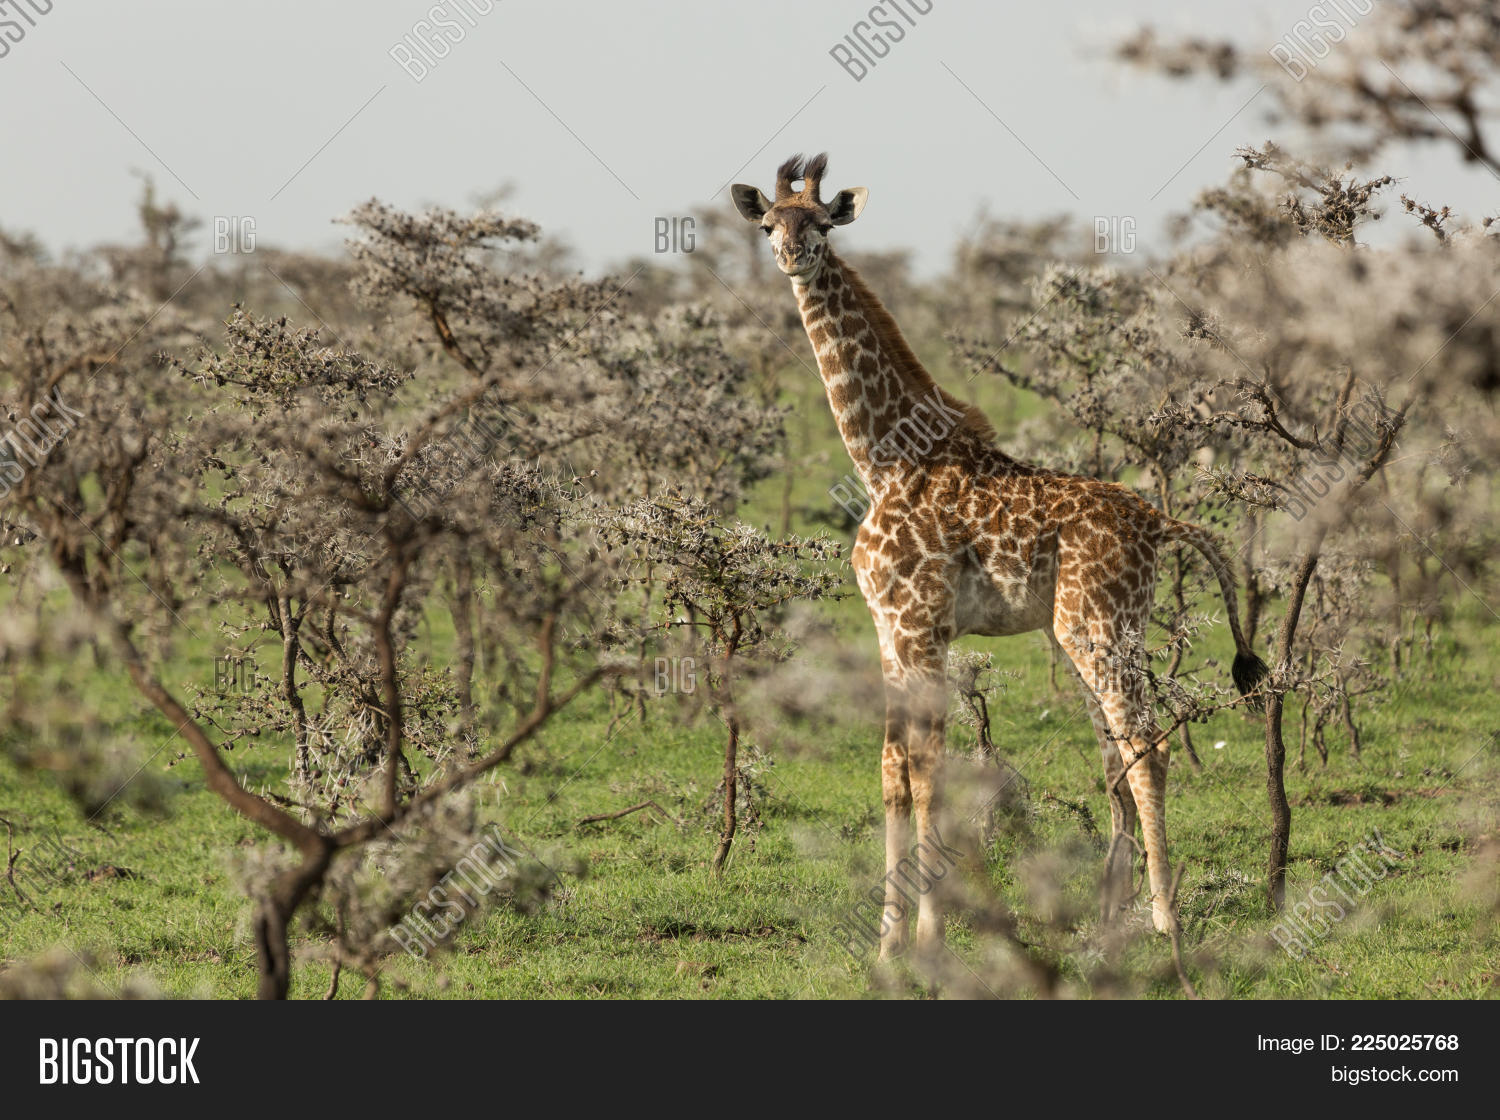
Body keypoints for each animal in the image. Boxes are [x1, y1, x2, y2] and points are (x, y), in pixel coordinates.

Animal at [731, 154, 1267, 958]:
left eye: (822, 221)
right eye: (769, 223)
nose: (795, 255)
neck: (884, 458)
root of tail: (1160, 521)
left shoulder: (921, 625)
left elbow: (929, 771)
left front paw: (929, 937)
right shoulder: (888, 631)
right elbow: (892, 771)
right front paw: (887, 945)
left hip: (1096, 625)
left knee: (1148, 747)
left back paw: (1165, 923)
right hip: (1084, 631)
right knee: (1115, 754)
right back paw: (1109, 919)